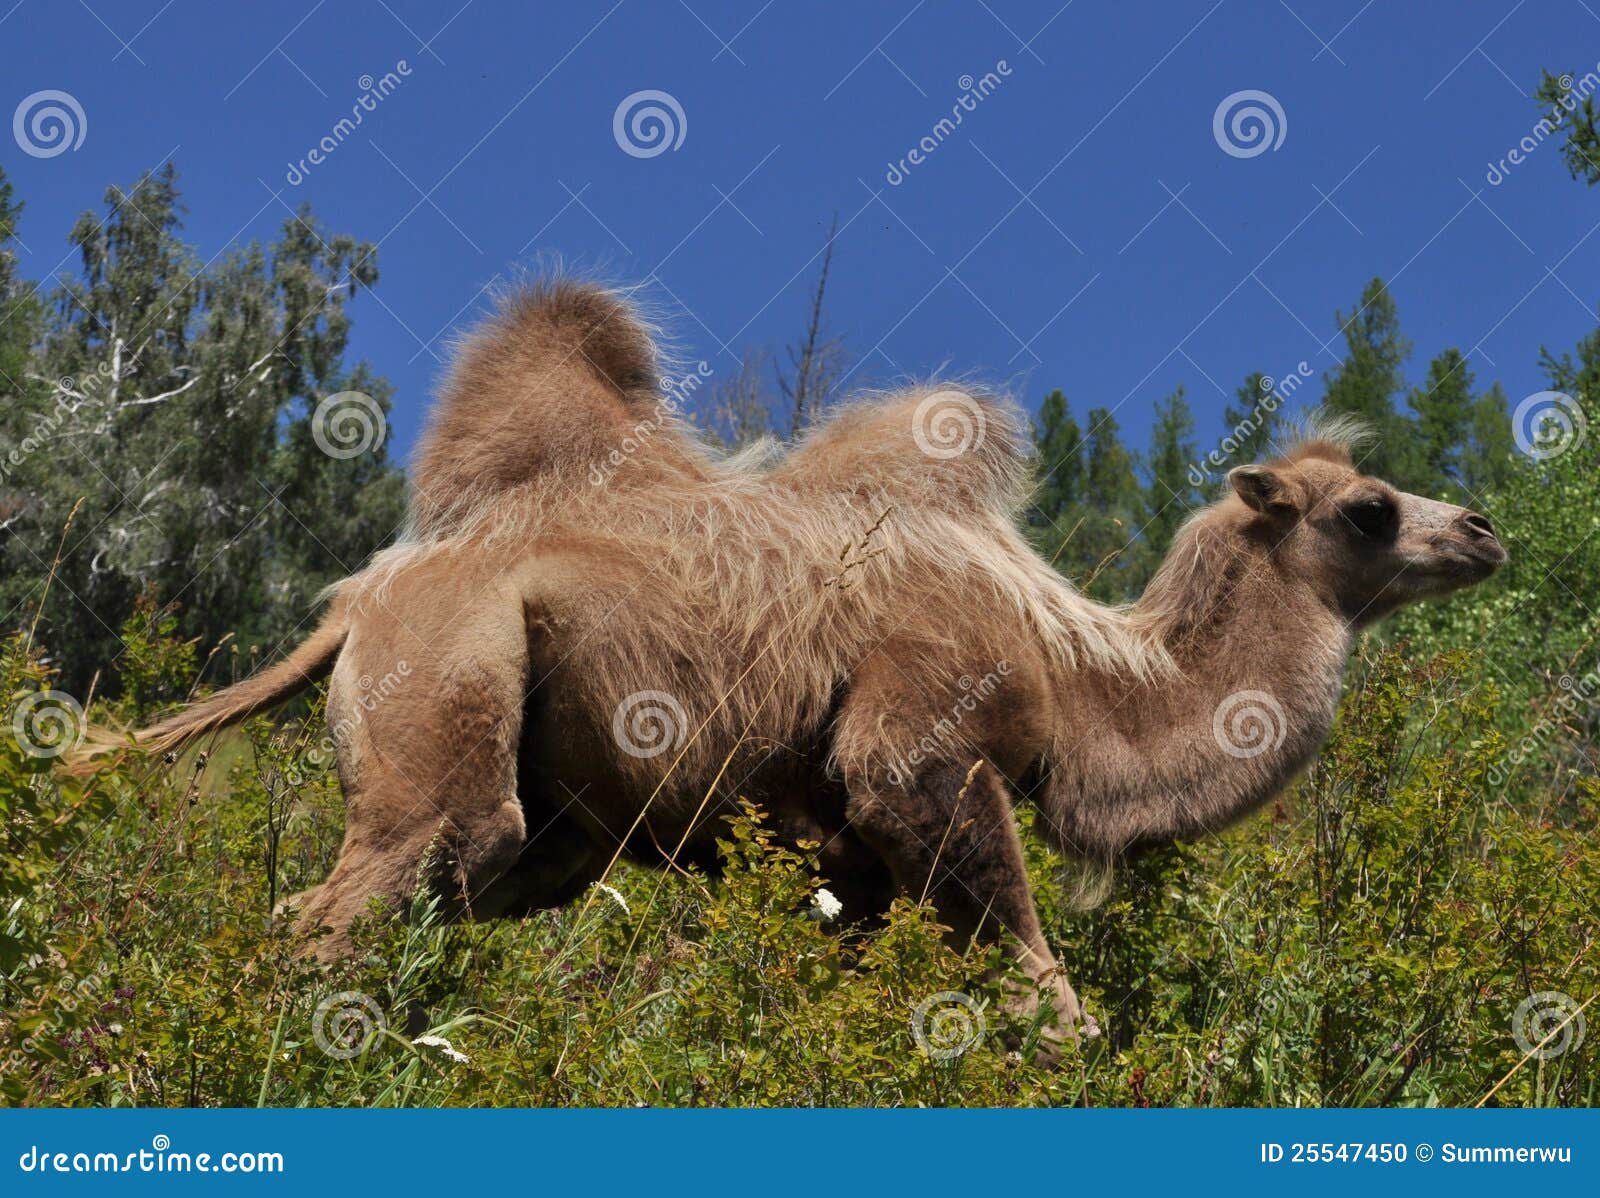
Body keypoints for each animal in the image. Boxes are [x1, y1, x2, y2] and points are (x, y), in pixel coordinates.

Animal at [72, 280, 1507, 1054]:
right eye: (1368, 508)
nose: (1483, 528)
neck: (1074, 663)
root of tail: (367, 590)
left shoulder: (848, 862)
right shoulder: (919, 752)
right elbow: (1050, 994)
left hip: (550, 811)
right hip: (449, 683)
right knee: (358, 894)